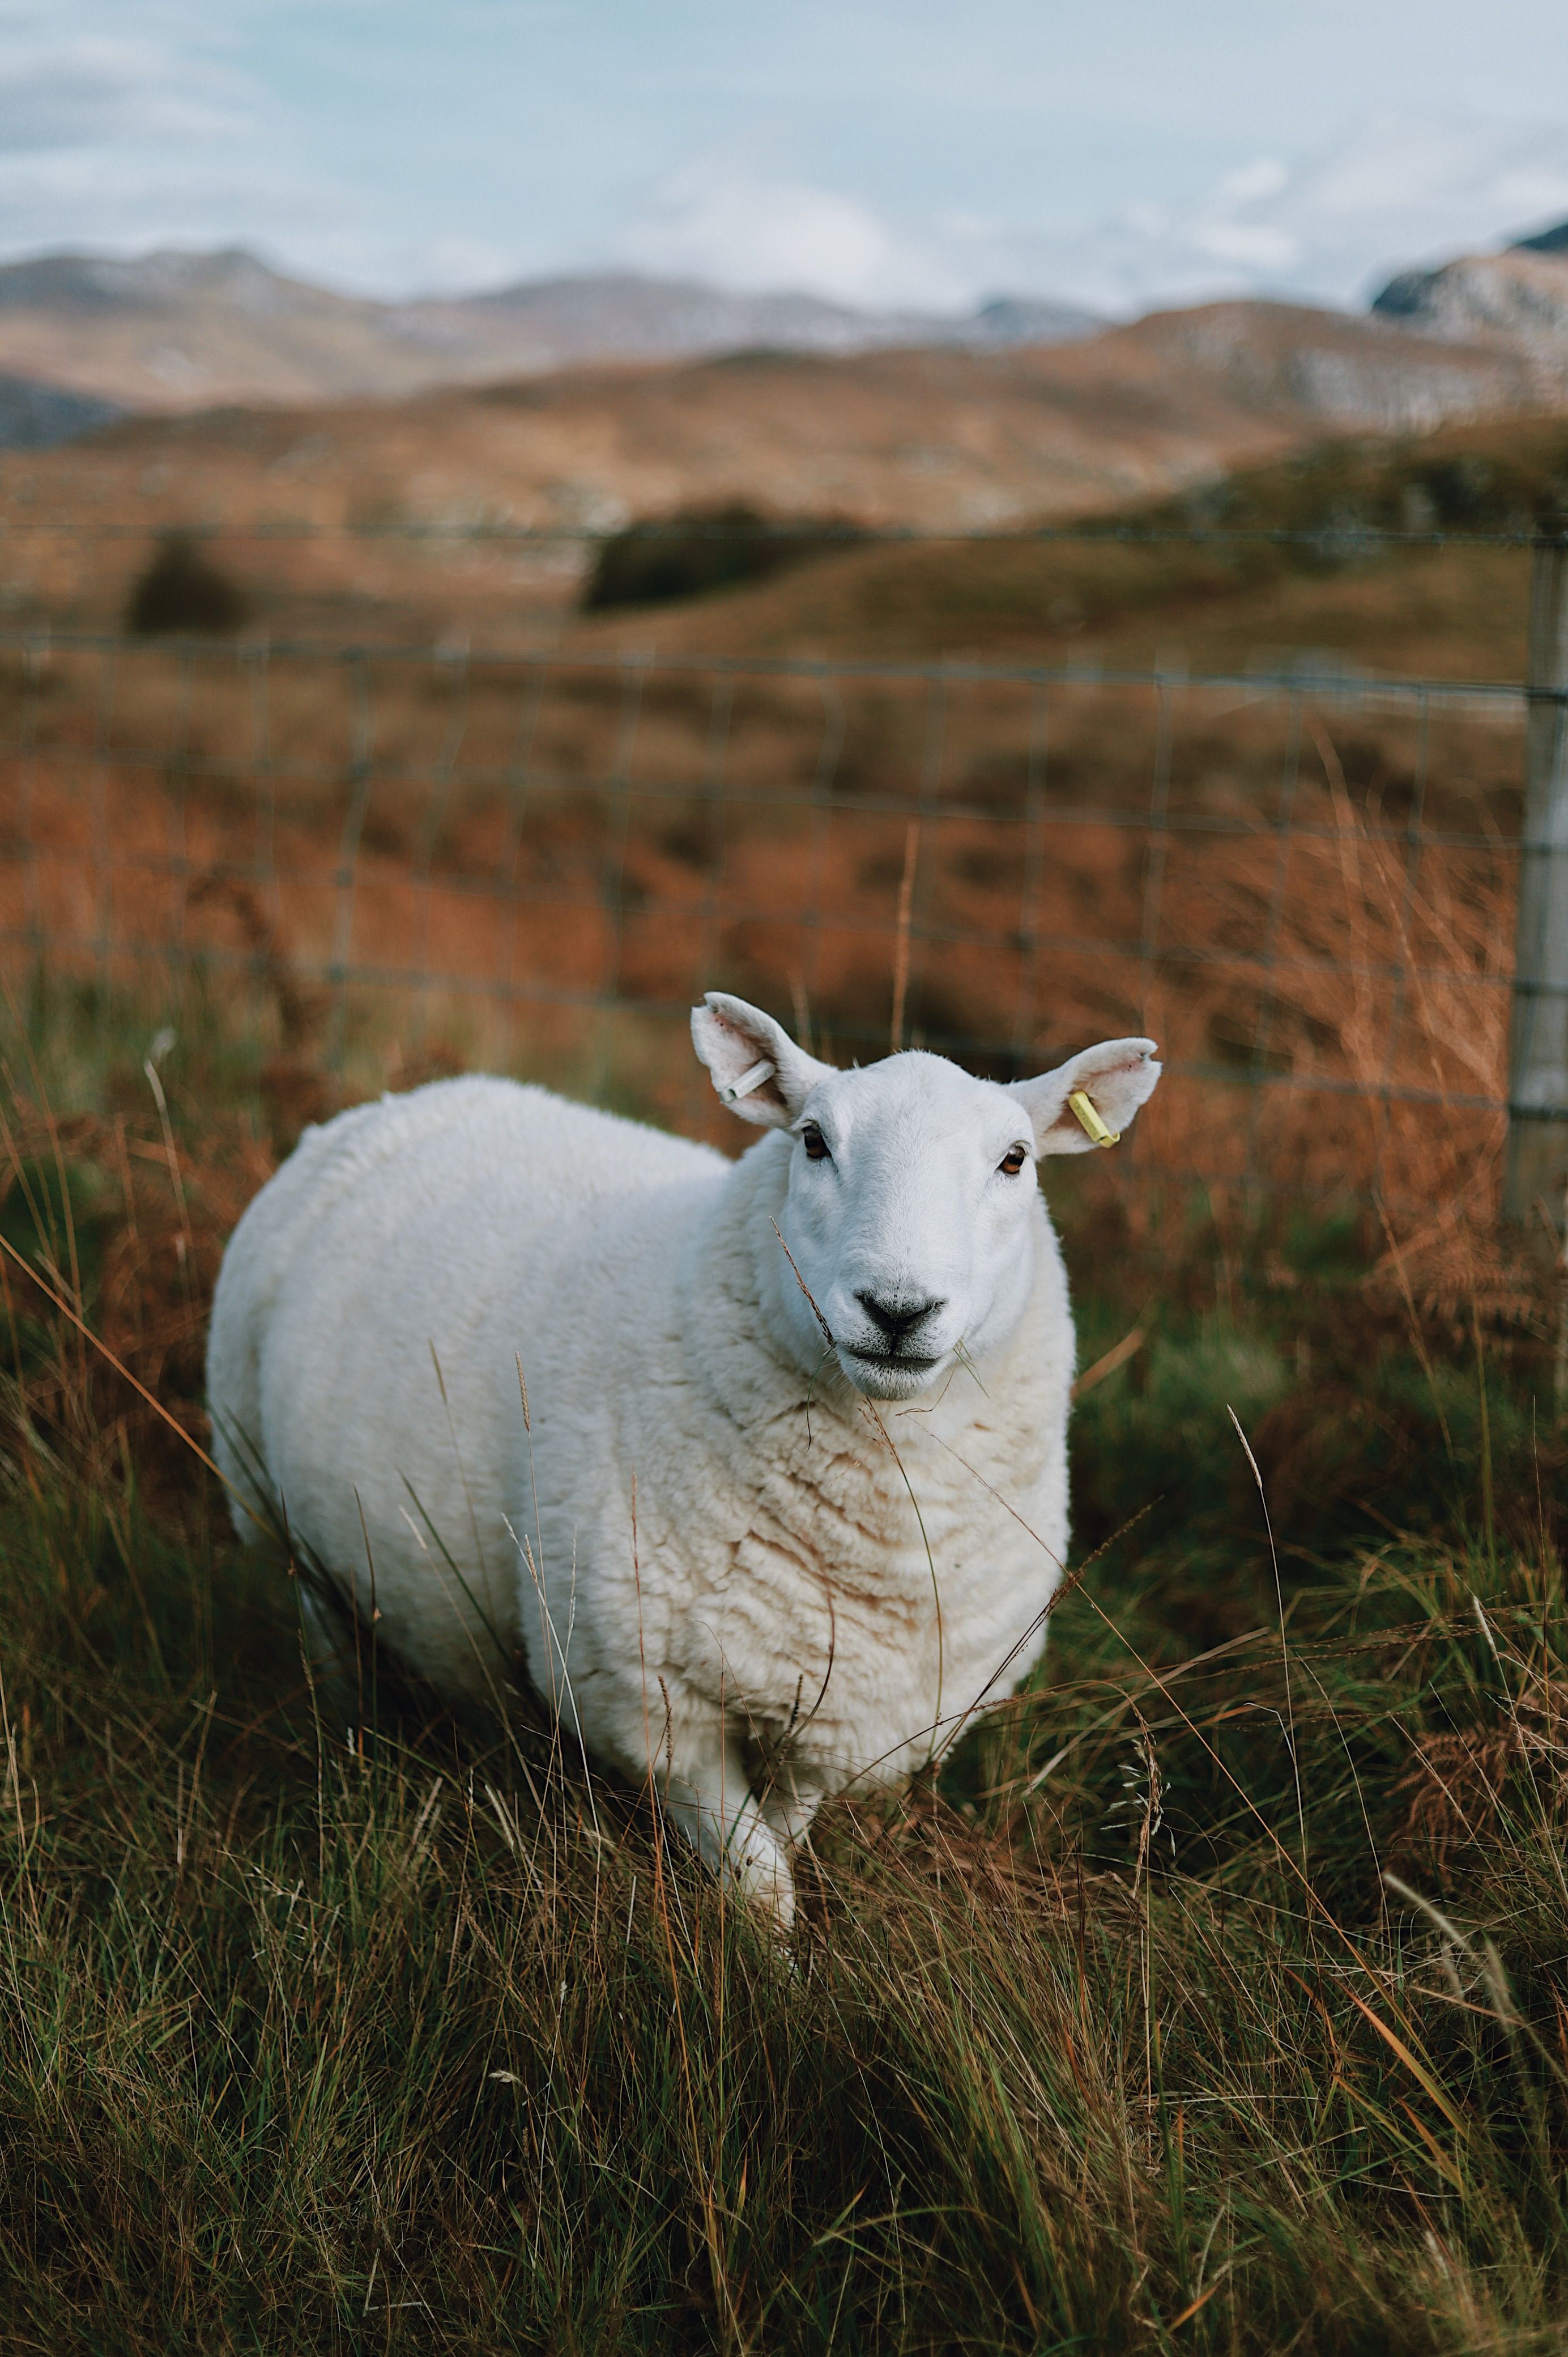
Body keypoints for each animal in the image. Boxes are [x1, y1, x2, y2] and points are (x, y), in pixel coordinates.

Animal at [206, 995, 1160, 1924]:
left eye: (1015, 1160)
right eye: (813, 1140)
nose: (897, 1309)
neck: (871, 1533)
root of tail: (406, 1099)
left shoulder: (834, 1717)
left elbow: (781, 1844)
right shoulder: (654, 1703)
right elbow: (758, 1887)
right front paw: (767, 1970)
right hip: (276, 1512)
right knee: (330, 1640)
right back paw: (349, 1741)